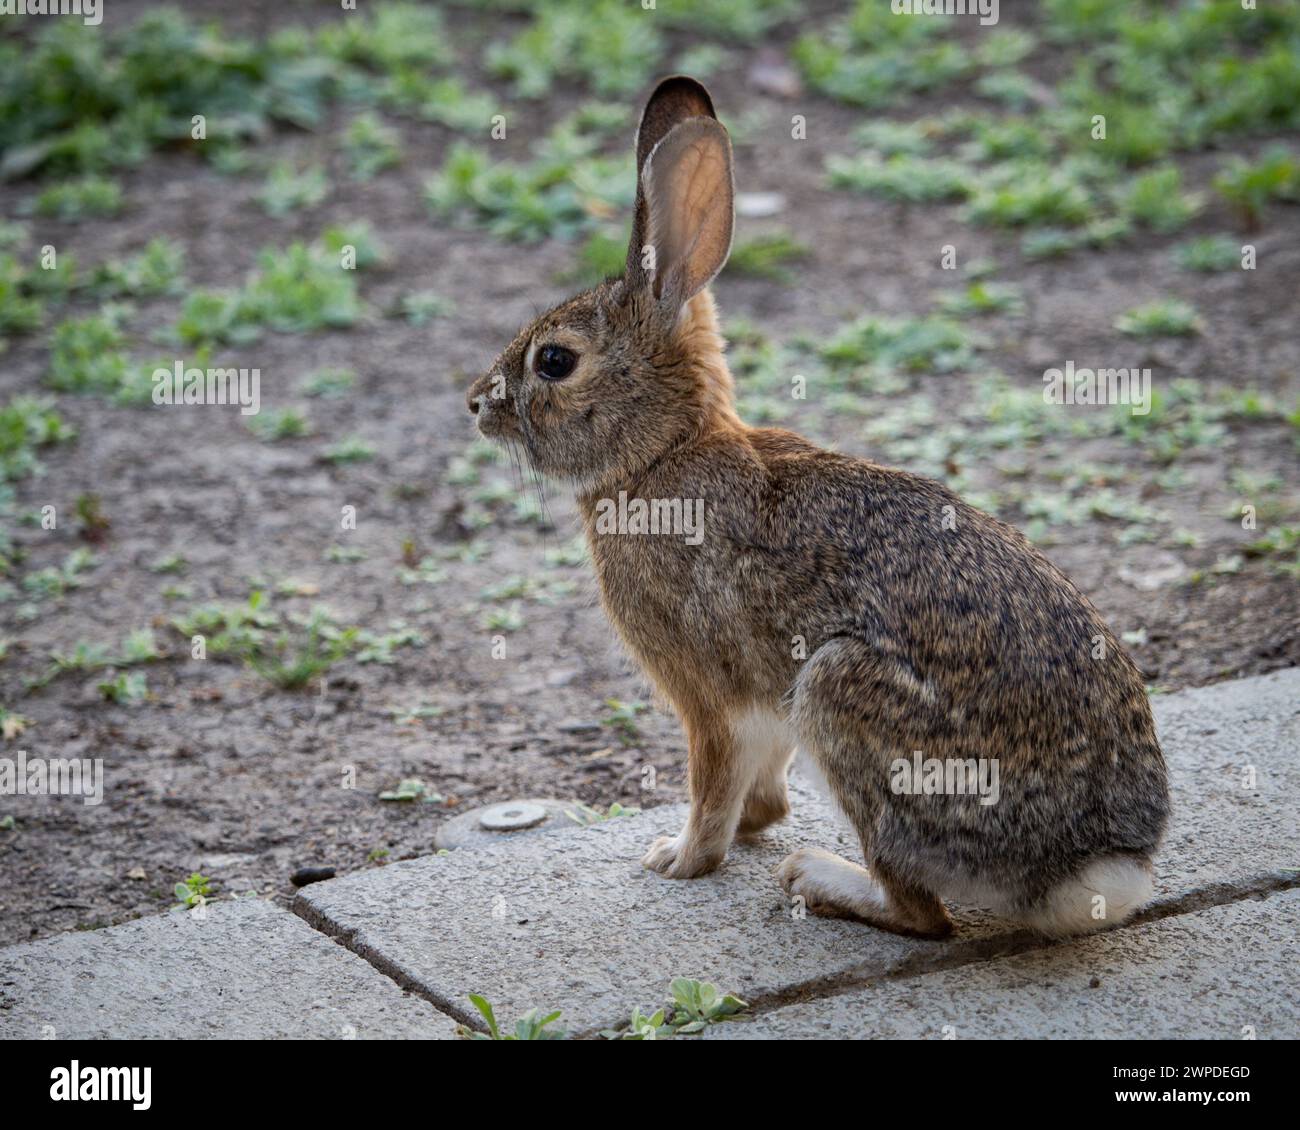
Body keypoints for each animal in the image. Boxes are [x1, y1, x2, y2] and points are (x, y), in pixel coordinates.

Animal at [466, 76, 1169, 939]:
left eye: (555, 362)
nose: (476, 404)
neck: (660, 451)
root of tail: (1090, 870)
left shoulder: (707, 693)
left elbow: (711, 782)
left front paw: (679, 859)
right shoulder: (766, 706)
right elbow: (759, 783)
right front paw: (754, 824)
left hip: (841, 697)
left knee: (922, 912)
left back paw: (820, 878)